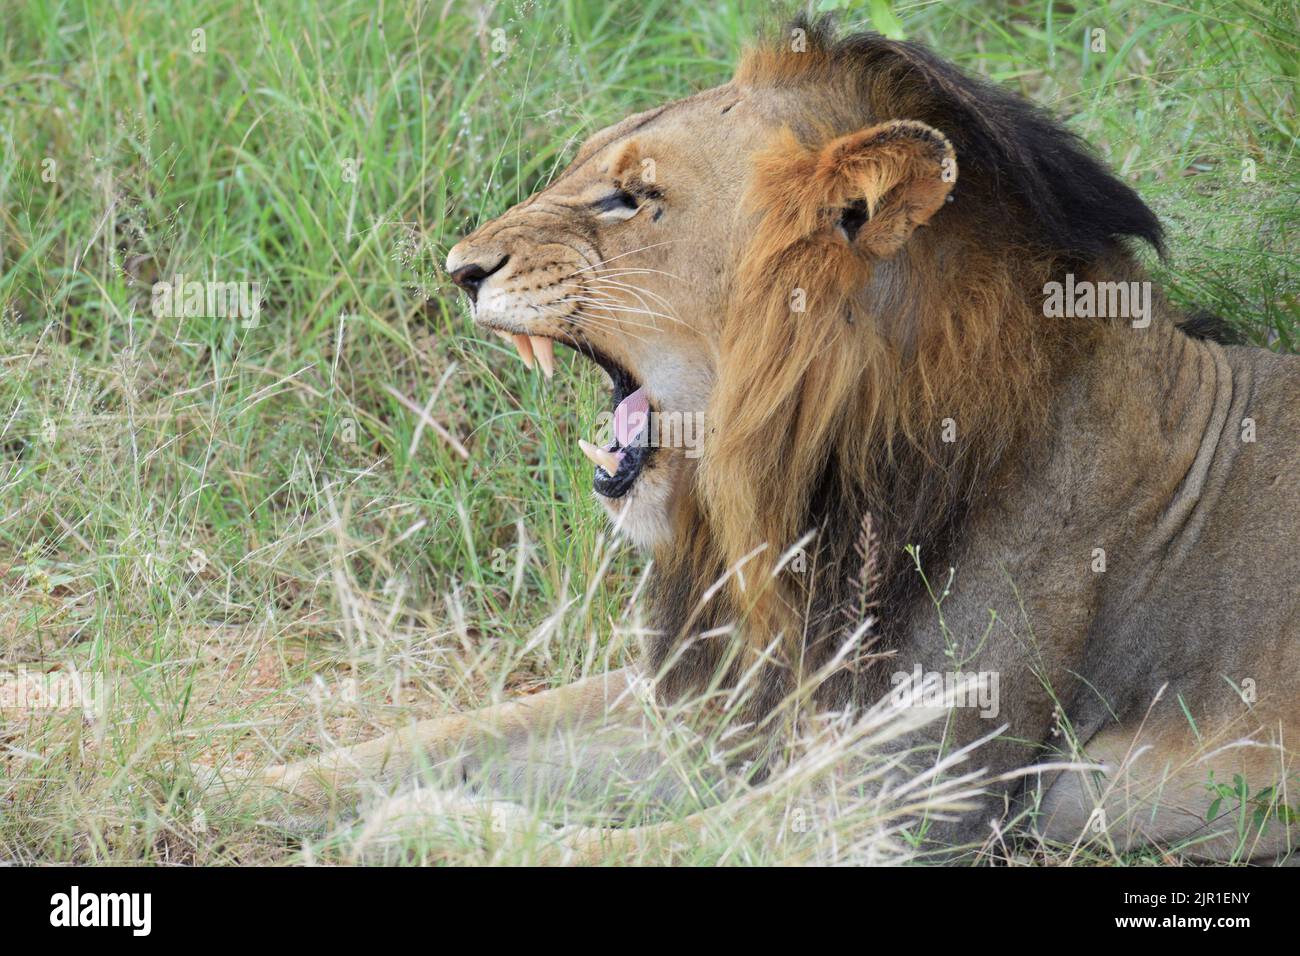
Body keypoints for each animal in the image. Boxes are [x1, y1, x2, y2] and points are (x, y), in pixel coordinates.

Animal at [236, 17, 1300, 862]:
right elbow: (464, 732)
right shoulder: (737, 701)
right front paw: (236, 783)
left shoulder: (907, 800)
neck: (815, 492)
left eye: (629, 199)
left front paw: (410, 828)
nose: (460, 268)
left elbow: (612, 849)